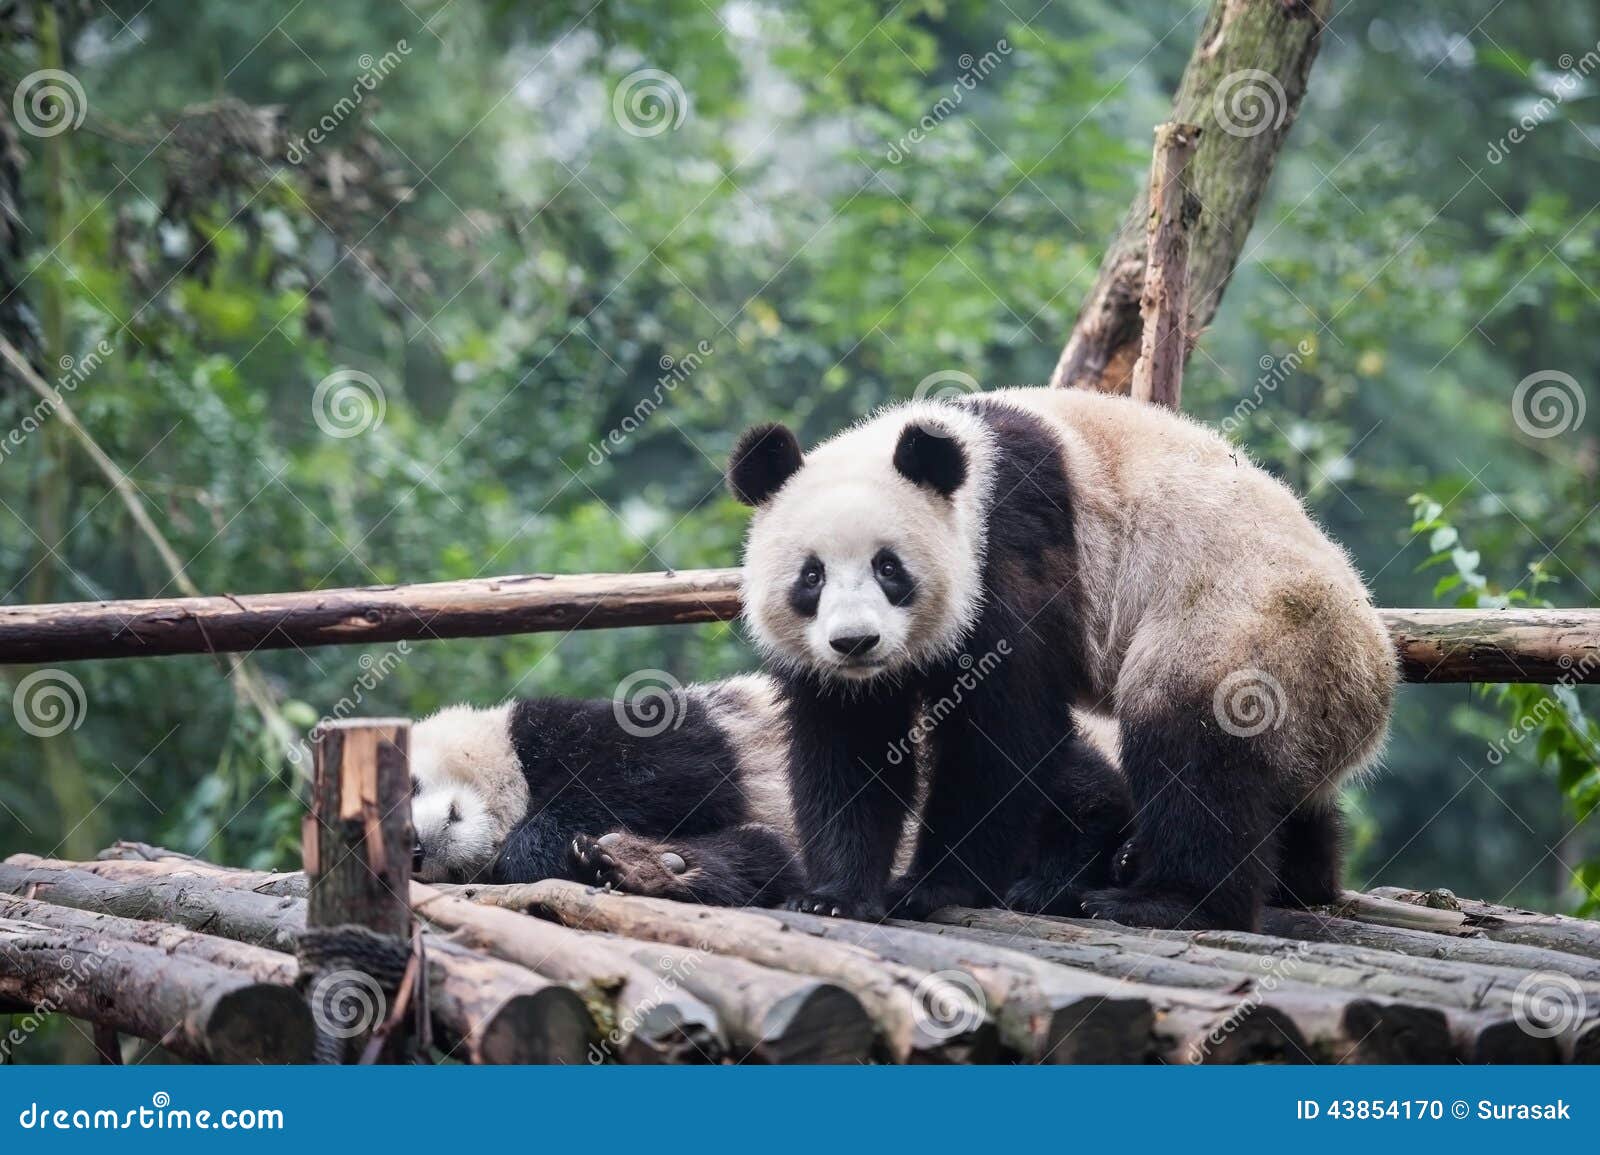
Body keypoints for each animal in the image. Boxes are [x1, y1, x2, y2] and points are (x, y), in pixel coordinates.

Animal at [728, 385, 1396, 931]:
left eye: (889, 568)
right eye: (811, 577)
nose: (855, 642)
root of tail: (1374, 684)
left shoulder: (1010, 554)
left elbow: (1002, 736)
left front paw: (931, 886)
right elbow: (850, 746)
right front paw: (835, 895)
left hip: (1250, 625)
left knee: (1194, 743)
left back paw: (1164, 900)